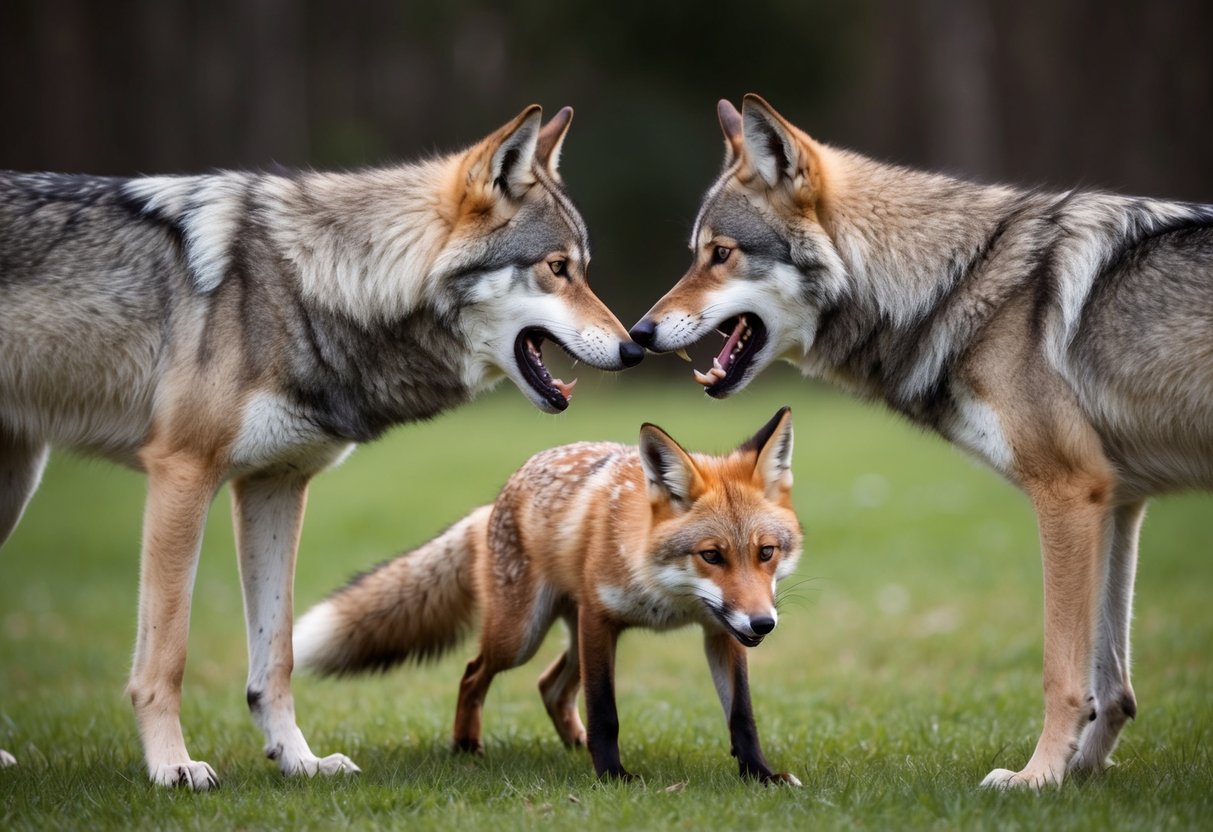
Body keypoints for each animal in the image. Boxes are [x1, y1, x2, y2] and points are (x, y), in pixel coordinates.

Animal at [0, 104, 643, 789]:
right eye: (557, 268)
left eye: (583, 268)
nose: (634, 347)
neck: (309, 290)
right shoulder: (182, 474)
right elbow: (167, 655)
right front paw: (172, 766)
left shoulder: (275, 487)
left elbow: (274, 657)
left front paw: (299, 760)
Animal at [294, 407, 804, 784]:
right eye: (712, 555)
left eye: (765, 552)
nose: (763, 624)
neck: (670, 596)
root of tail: (495, 501)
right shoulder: (600, 619)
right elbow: (605, 711)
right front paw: (612, 776)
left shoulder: (720, 631)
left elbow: (742, 715)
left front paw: (761, 775)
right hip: (522, 635)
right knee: (473, 673)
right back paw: (466, 746)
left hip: (572, 637)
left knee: (549, 686)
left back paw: (573, 744)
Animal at [629, 94, 1213, 788]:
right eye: (697, 253)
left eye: (721, 254)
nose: (638, 332)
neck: (953, 284)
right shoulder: (1118, 502)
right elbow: (1112, 684)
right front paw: (1078, 773)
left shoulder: (1068, 493)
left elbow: (1062, 671)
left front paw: (1036, 779)